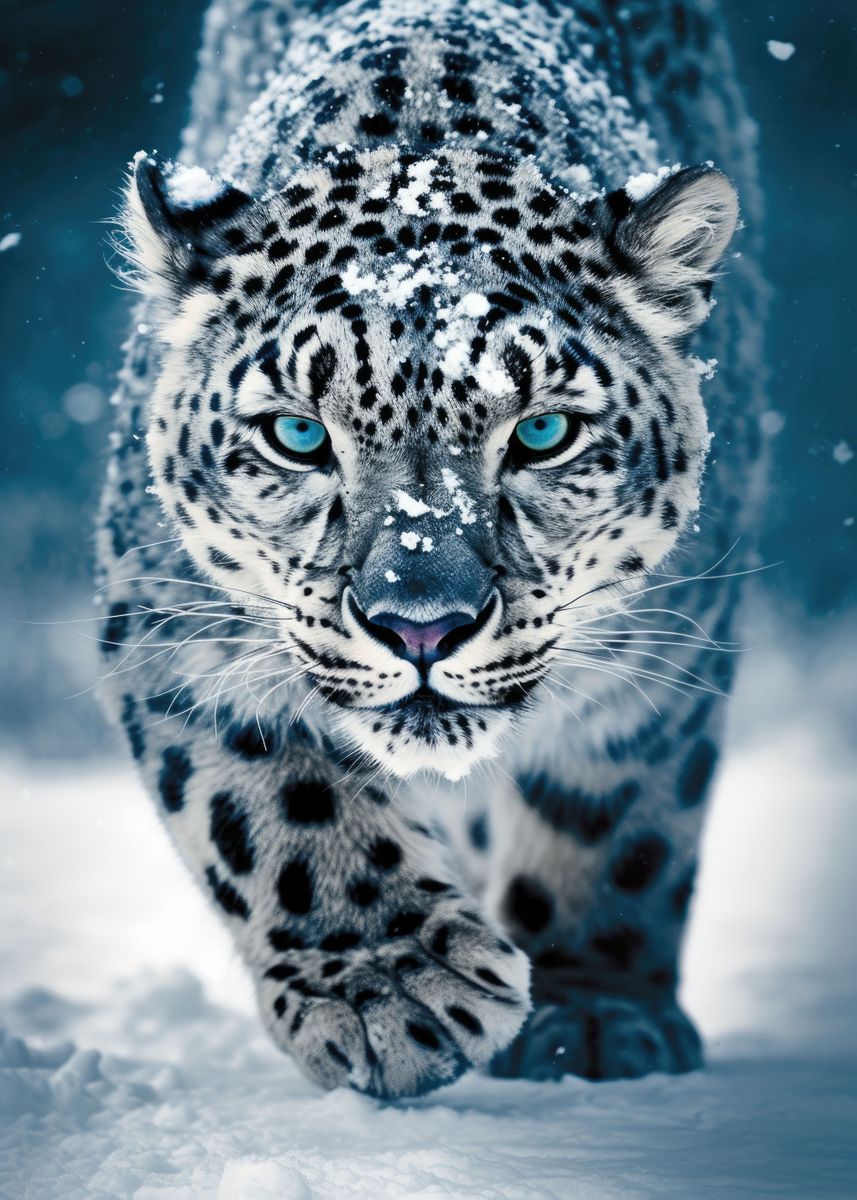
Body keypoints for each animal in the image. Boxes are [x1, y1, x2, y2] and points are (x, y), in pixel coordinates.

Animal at [97, 0, 767, 1099]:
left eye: (542, 432)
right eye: (297, 434)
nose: (421, 627)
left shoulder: (666, 656)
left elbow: (612, 826)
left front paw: (595, 1015)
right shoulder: (170, 627)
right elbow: (274, 801)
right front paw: (388, 987)